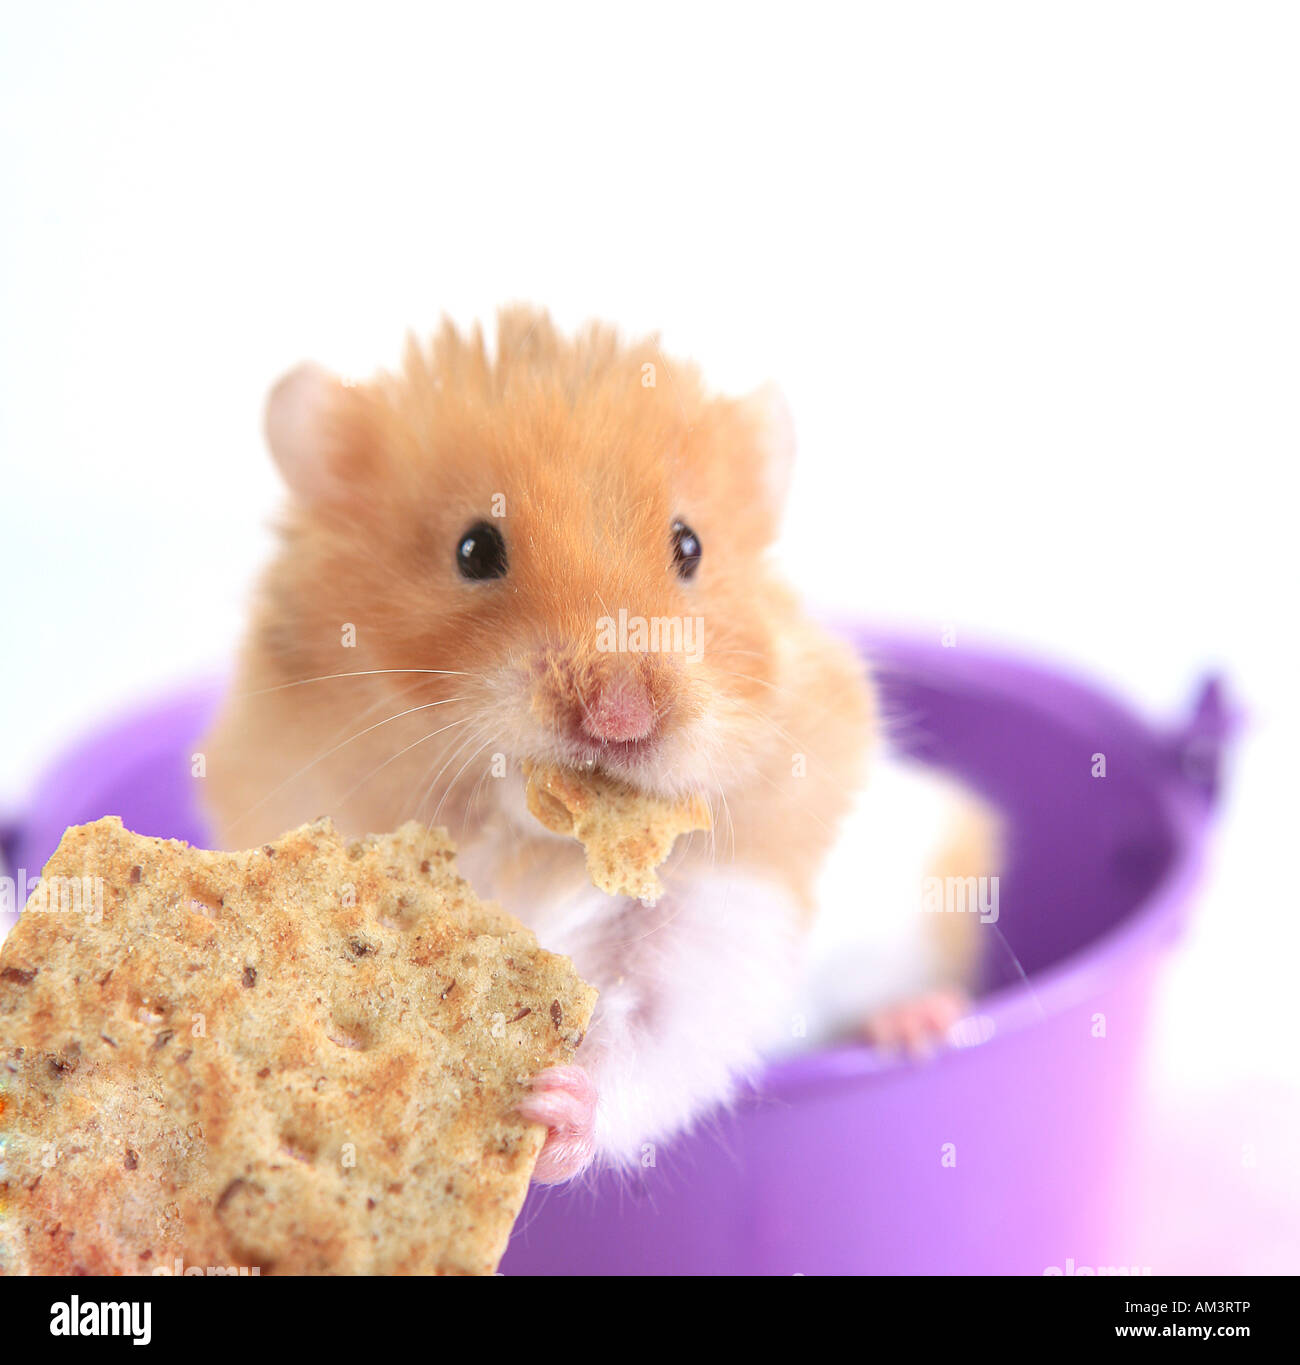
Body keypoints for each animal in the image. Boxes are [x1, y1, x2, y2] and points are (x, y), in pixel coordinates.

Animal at [202, 308, 991, 1182]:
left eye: (690, 546)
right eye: (474, 549)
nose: (619, 715)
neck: (531, 838)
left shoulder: (720, 911)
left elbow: (659, 1029)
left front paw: (551, 1112)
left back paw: (918, 1023)